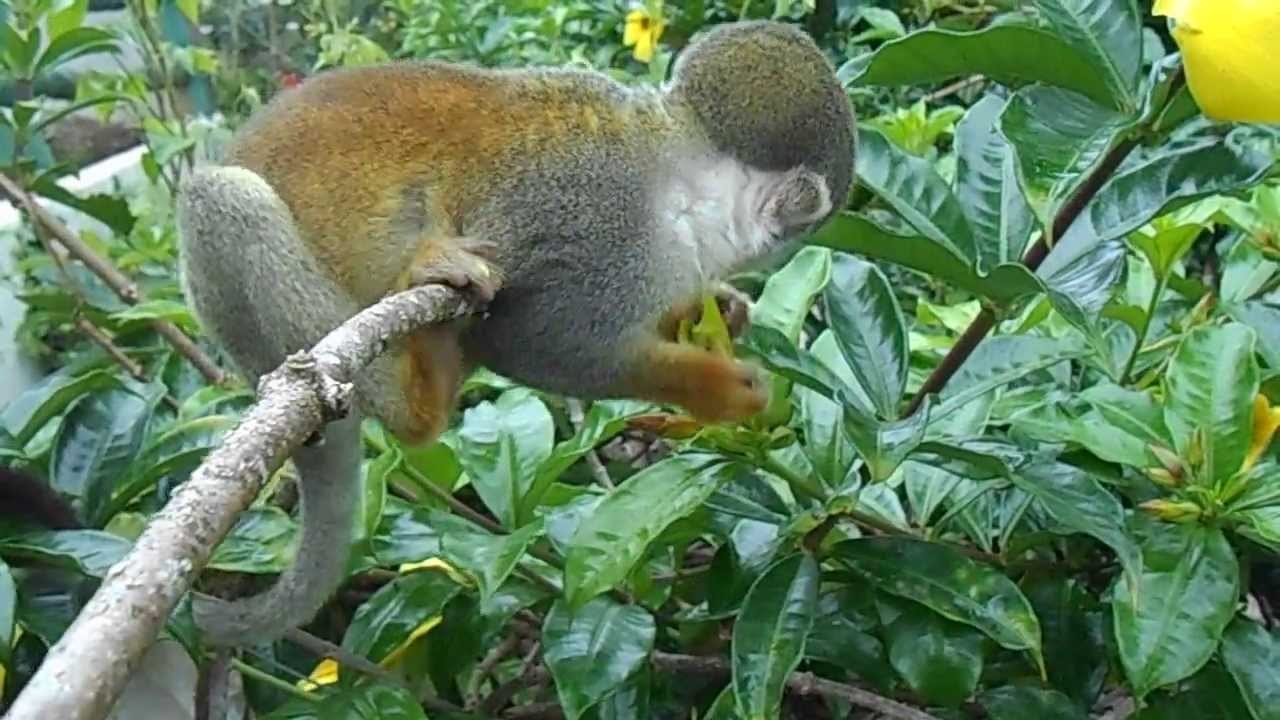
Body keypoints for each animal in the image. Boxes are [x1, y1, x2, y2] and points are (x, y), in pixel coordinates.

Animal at [176, 19, 855, 647]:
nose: (781, 245)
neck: (676, 179)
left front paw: (715, 310)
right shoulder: (595, 214)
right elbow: (529, 339)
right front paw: (716, 389)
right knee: (221, 198)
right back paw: (417, 401)